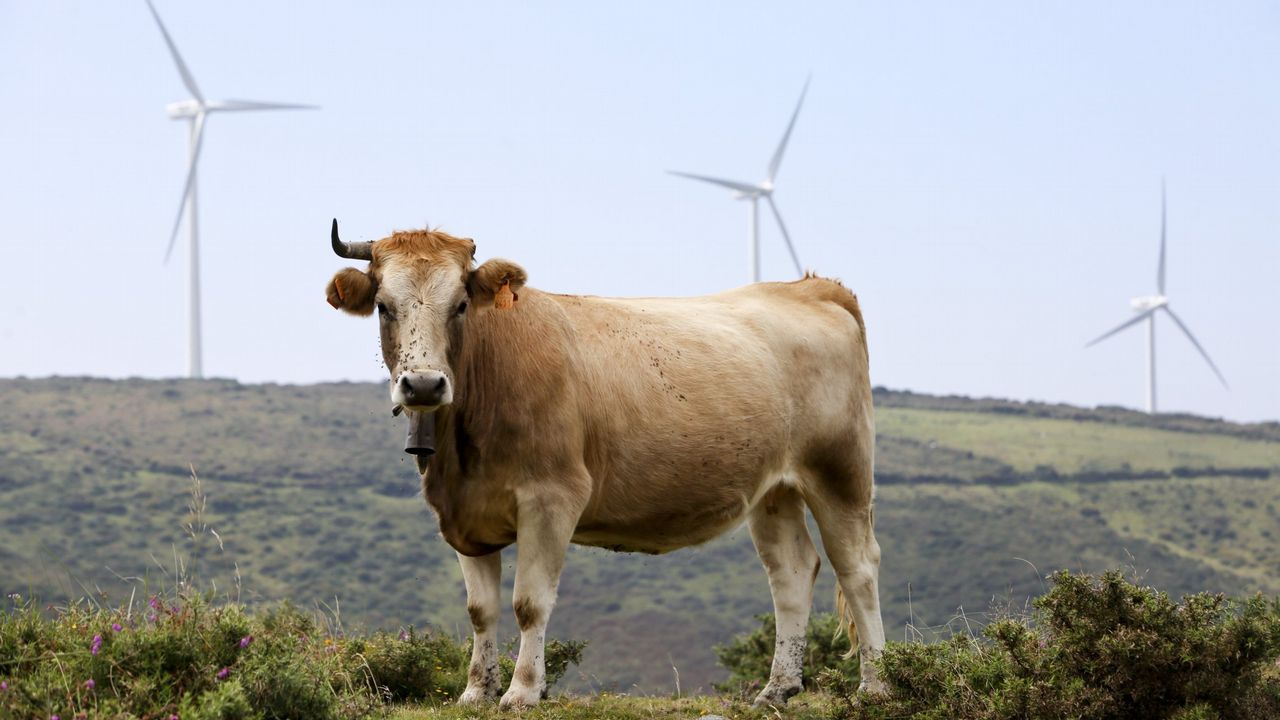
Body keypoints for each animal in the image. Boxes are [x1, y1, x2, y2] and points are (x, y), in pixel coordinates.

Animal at [325, 220, 886, 708]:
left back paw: (875, 686)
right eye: (383, 306)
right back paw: (777, 689)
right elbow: (481, 610)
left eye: (460, 304)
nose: (422, 385)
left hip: (840, 472)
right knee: (792, 572)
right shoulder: (464, 513)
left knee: (857, 568)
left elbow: (529, 603)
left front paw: (522, 691)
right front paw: (474, 692)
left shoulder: (552, 498)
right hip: (774, 489)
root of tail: (812, 288)